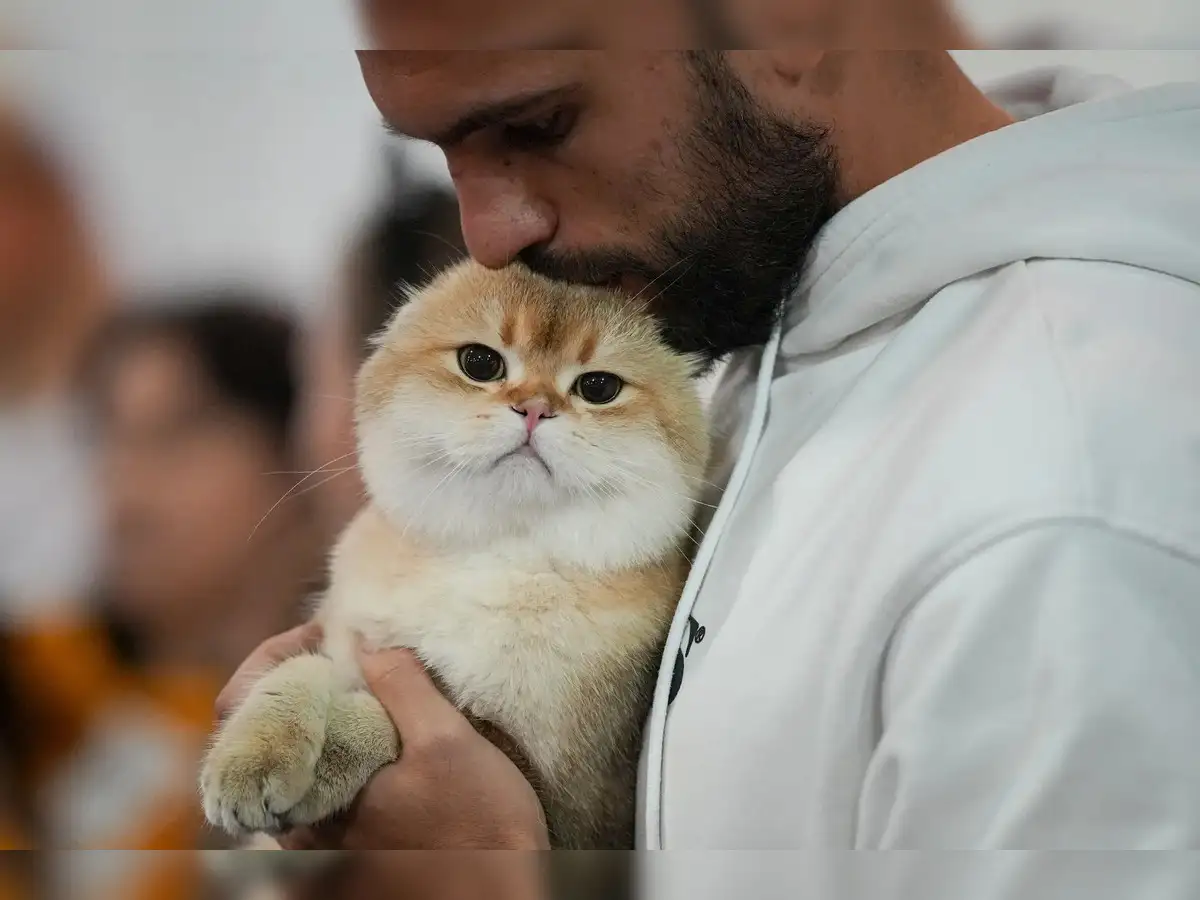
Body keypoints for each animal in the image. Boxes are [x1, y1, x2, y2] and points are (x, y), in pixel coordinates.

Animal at [199, 260, 709, 849]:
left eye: (599, 387)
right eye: (480, 363)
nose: (534, 409)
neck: (492, 561)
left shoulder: (572, 804)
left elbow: (404, 719)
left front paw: (333, 755)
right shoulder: (347, 634)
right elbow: (303, 669)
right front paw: (253, 755)